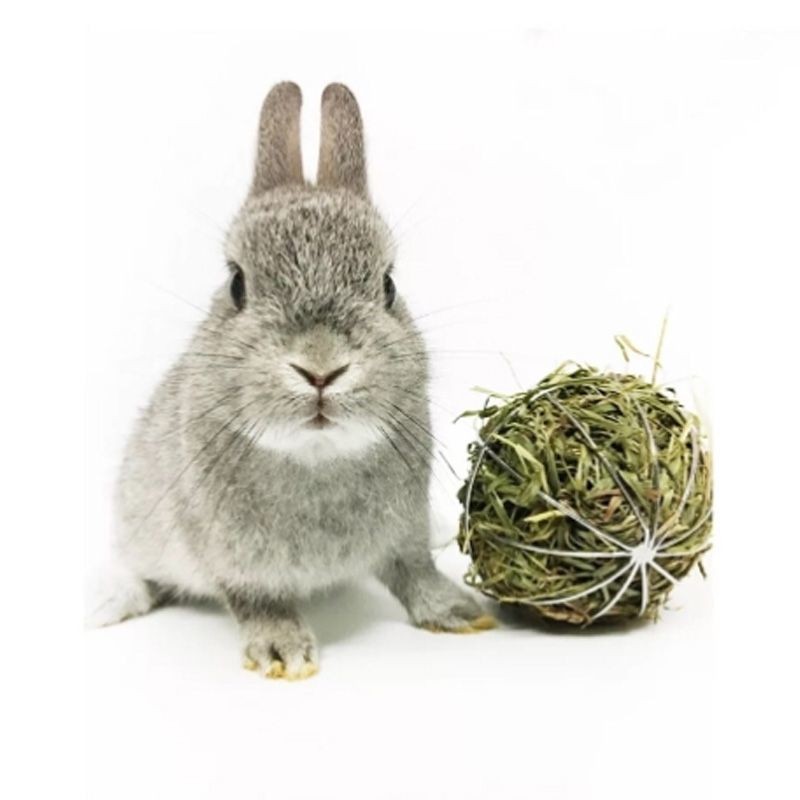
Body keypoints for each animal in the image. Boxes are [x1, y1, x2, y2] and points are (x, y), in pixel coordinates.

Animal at [89, 82, 495, 680]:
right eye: (237, 285)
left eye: (388, 286)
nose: (320, 368)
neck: (316, 456)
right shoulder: (235, 560)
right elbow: (258, 601)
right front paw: (283, 652)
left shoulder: (404, 536)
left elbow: (414, 573)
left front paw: (460, 611)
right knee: (141, 570)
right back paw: (108, 604)